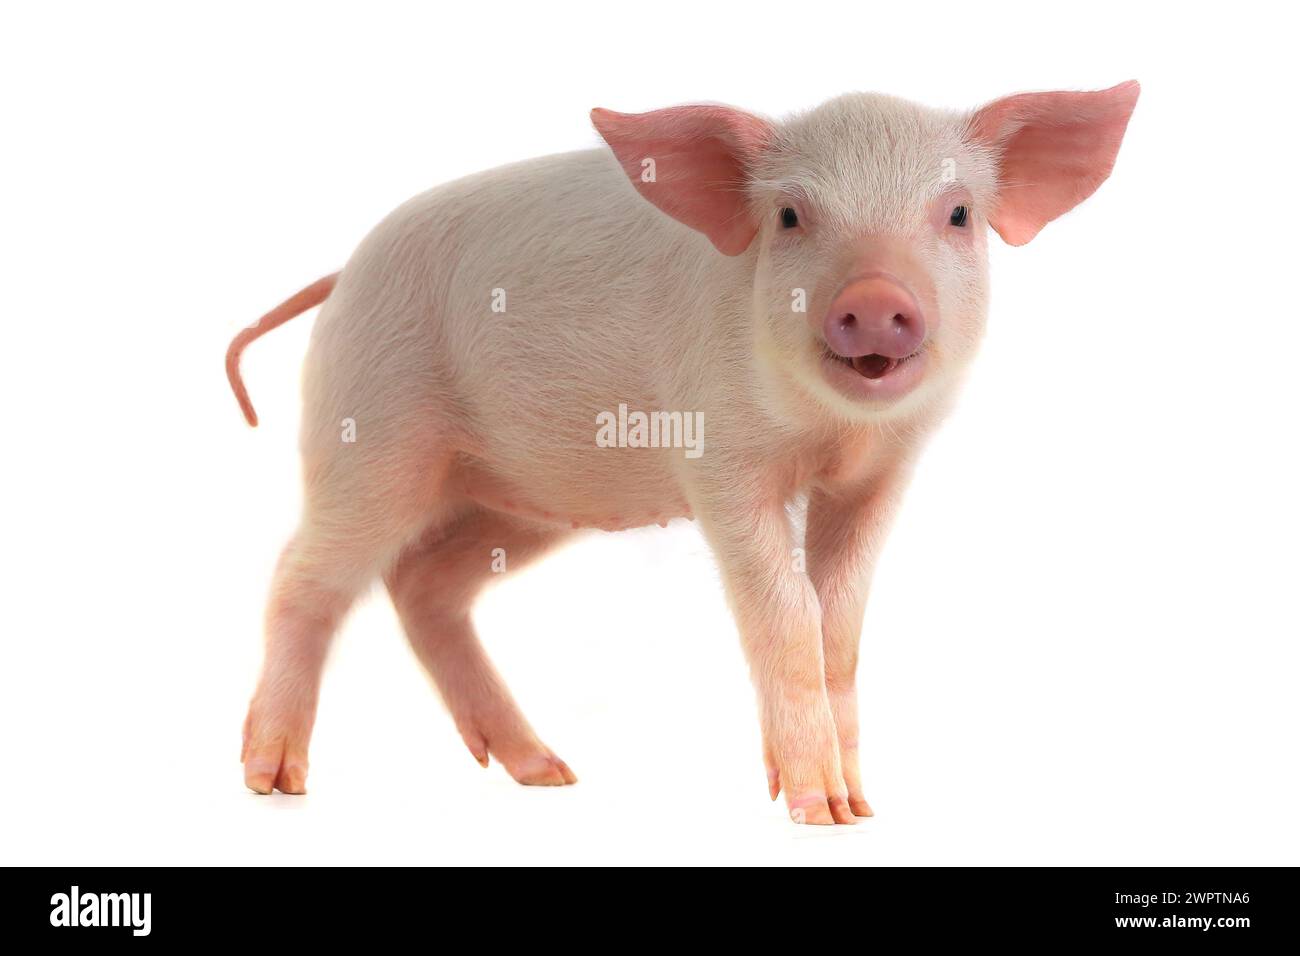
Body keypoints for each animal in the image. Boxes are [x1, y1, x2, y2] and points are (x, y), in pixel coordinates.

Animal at [227, 82, 1138, 823]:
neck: (828, 433)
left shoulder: (882, 475)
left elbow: (839, 625)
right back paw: (275, 781)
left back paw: (549, 774)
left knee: (423, 585)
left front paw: (863, 809)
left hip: (516, 496)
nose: (877, 298)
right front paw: (818, 813)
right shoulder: (721, 461)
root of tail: (344, 275)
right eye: (791, 217)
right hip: (372, 429)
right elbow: (786, 614)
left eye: (956, 214)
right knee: (303, 577)